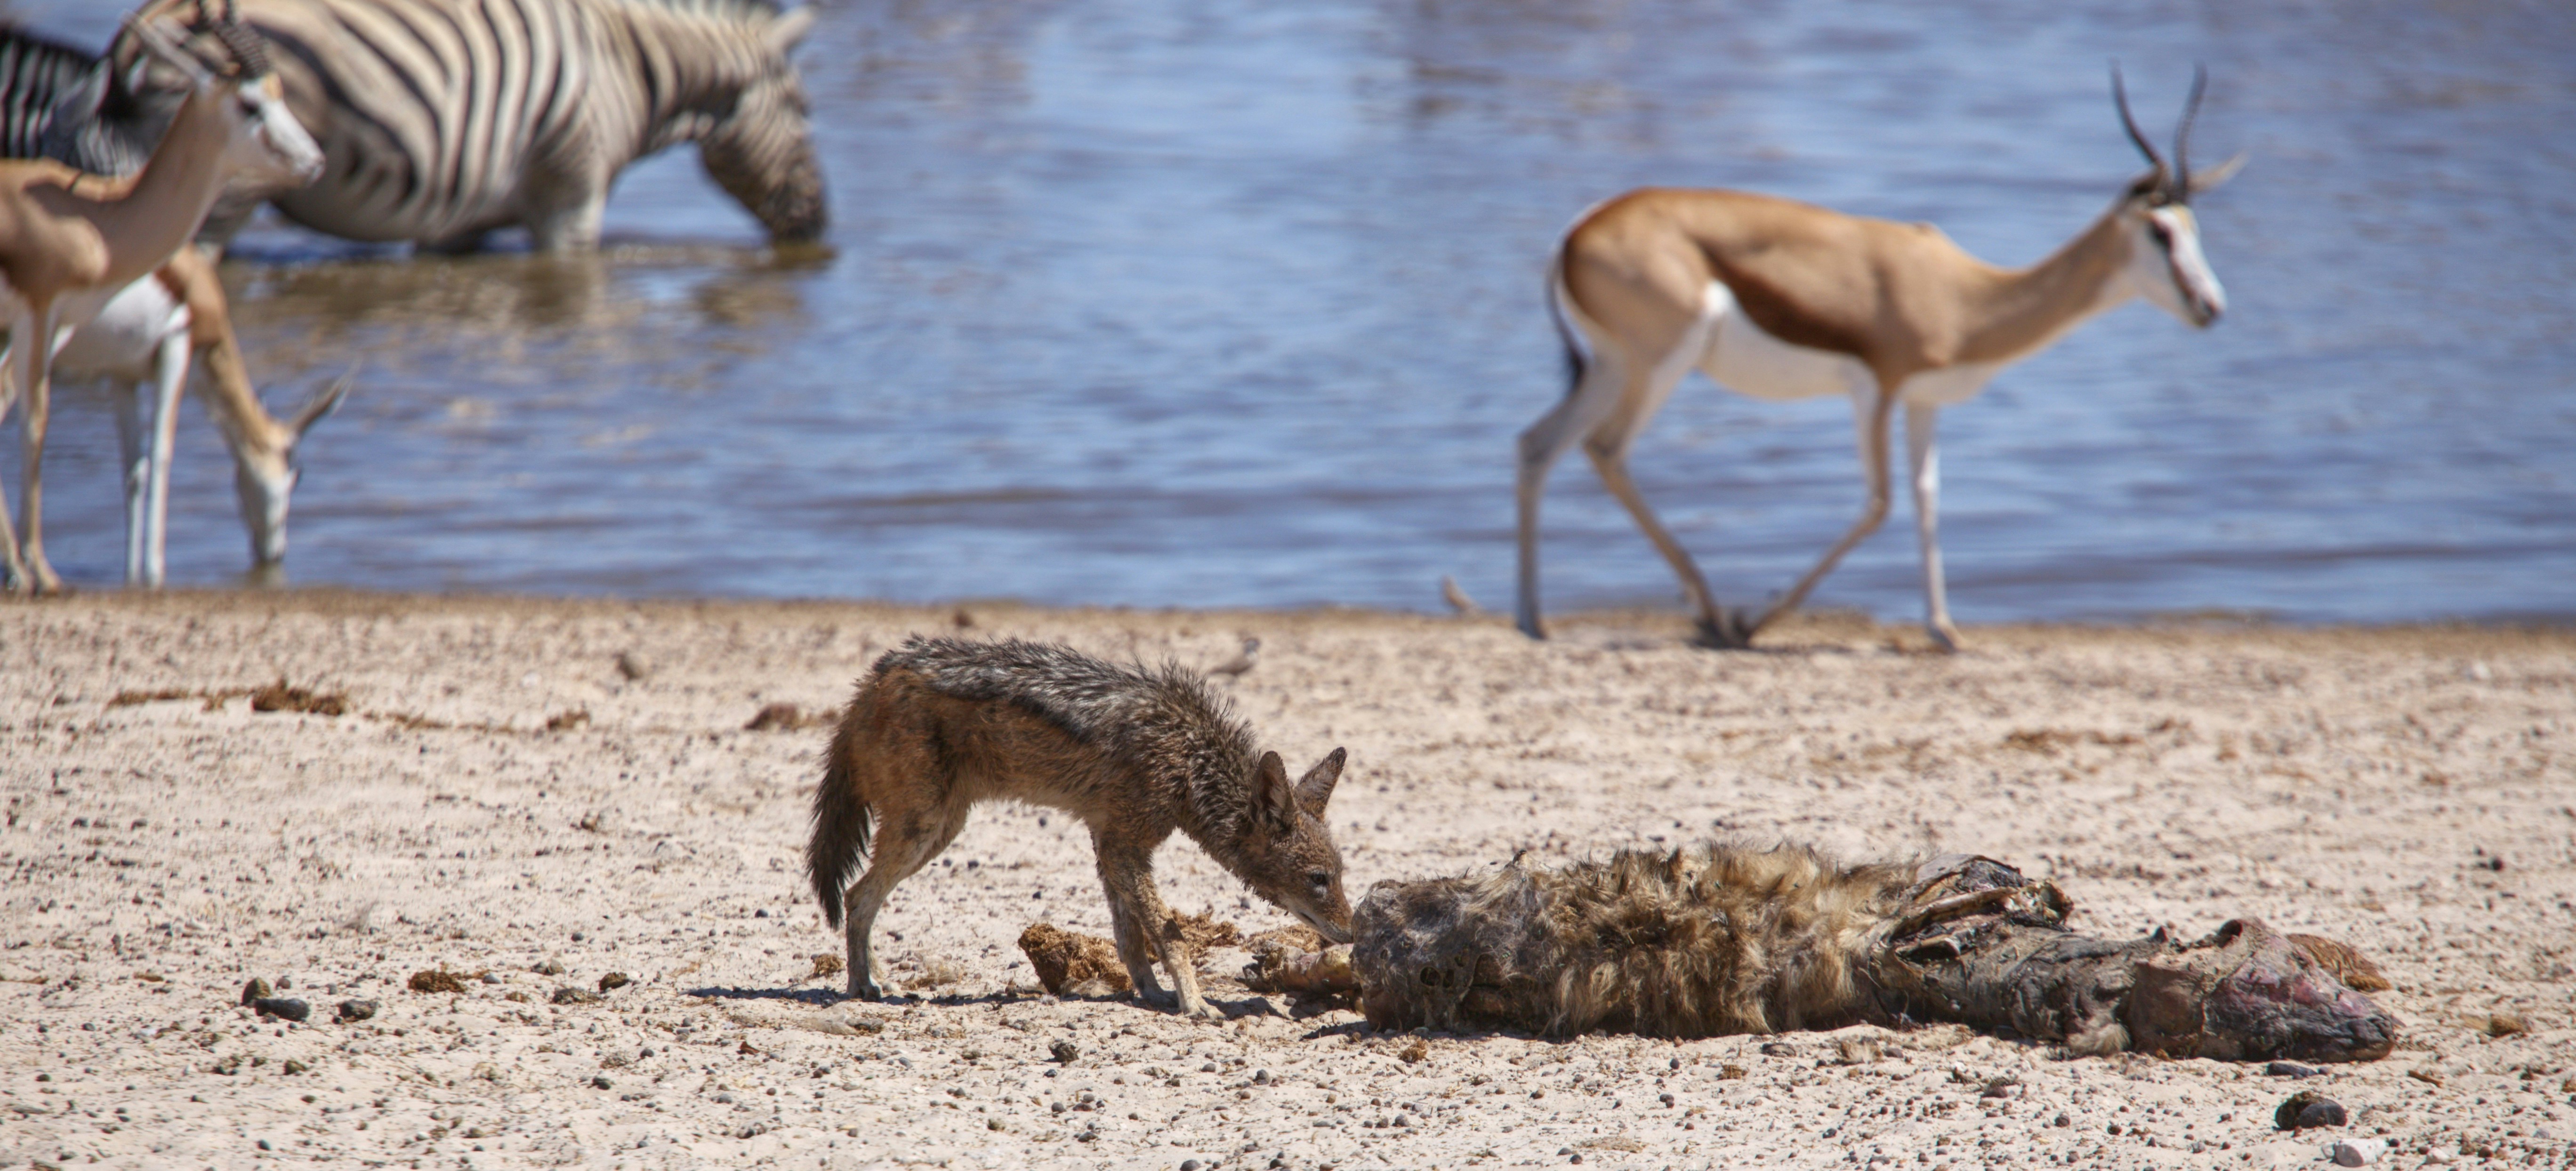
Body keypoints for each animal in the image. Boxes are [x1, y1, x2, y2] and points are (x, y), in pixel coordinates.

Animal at [0, 20, 343, 587]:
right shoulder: (170, 344)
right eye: (250, 103)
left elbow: (133, 468)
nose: (315, 161)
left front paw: (132, 575)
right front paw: (148, 572)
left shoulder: (119, 373)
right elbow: (154, 453)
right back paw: (29, 572)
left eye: (281, 94)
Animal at [122, 0, 828, 252]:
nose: (821, 225)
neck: (631, 66)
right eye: (804, 110)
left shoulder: (459, 215)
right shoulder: (572, 196)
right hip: (223, 195)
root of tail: (148, 26)